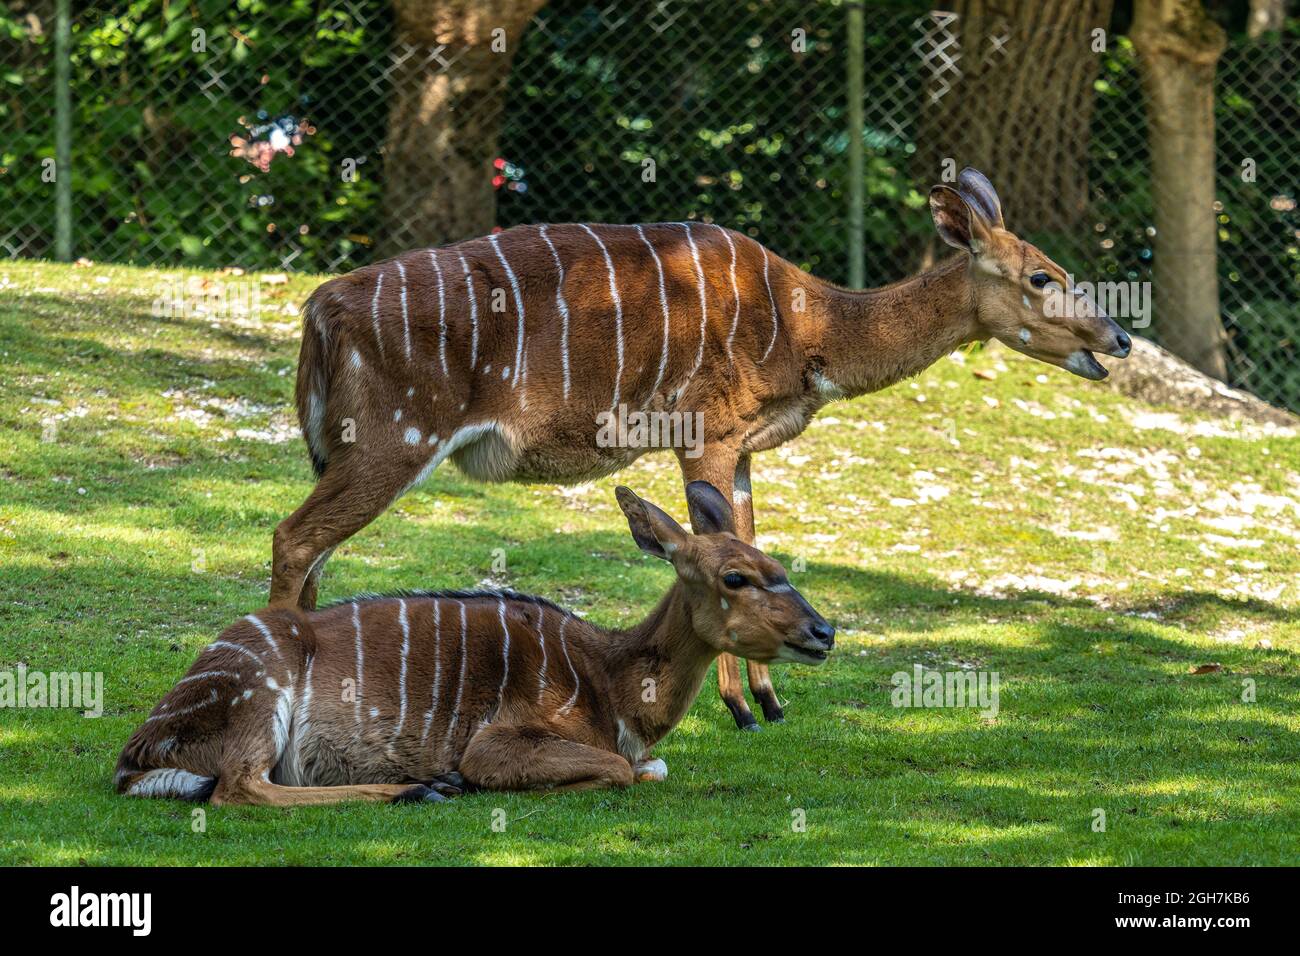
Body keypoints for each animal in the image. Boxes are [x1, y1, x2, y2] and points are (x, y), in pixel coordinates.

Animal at [115, 482, 834, 805]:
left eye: (779, 565)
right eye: (735, 577)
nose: (822, 632)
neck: (613, 683)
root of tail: (140, 750)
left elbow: (647, 767)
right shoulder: (498, 740)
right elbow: (621, 769)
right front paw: (461, 778)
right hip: (263, 692)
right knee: (239, 786)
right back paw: (418, 789)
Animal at [270, 167, 1130, 731]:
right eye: (1043, 277)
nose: (1118, 338)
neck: (808, 326)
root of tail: (320, 309)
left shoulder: (744, 449)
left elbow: (747, 533)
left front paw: (773, 701)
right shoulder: (706, 432)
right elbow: (717, 545)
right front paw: (741, 708)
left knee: (317, 552)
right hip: (391, 440)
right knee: (296, 538)